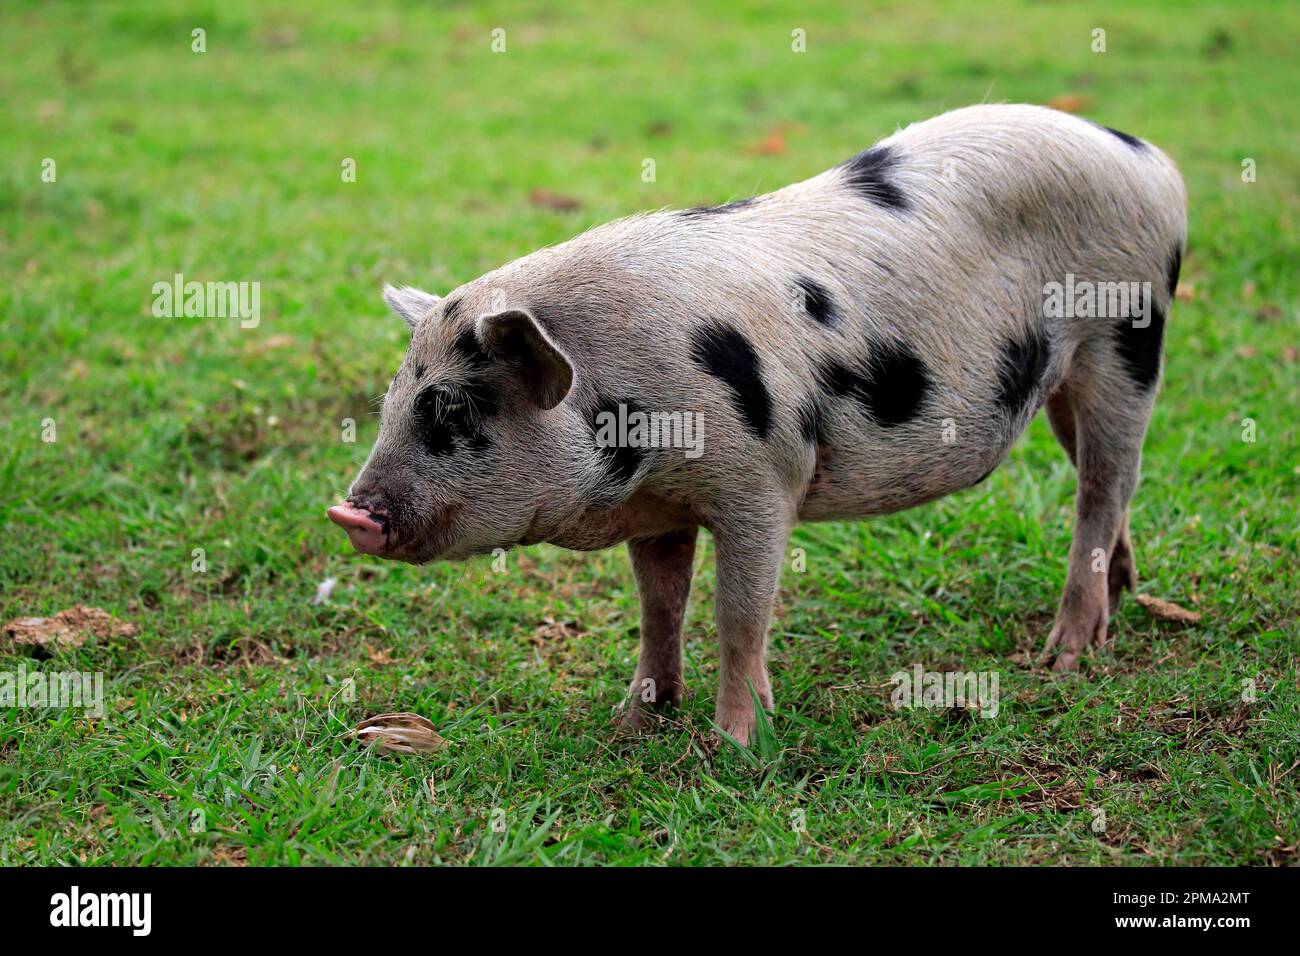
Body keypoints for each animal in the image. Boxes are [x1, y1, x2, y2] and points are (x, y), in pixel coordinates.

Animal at [328, 104, 1187, 745]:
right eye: (392, 406)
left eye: (452, 409)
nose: (349, 511)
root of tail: (1150, 159)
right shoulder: (658, 507)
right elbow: (659, 606)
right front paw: (632, 724)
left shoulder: (761, 480)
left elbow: (738, 615)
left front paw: (736, 745)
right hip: (1065, 378)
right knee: (1103, 483)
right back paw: (1121, 595)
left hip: (1127, 336)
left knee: (1107, 482)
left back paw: (1066, 656)